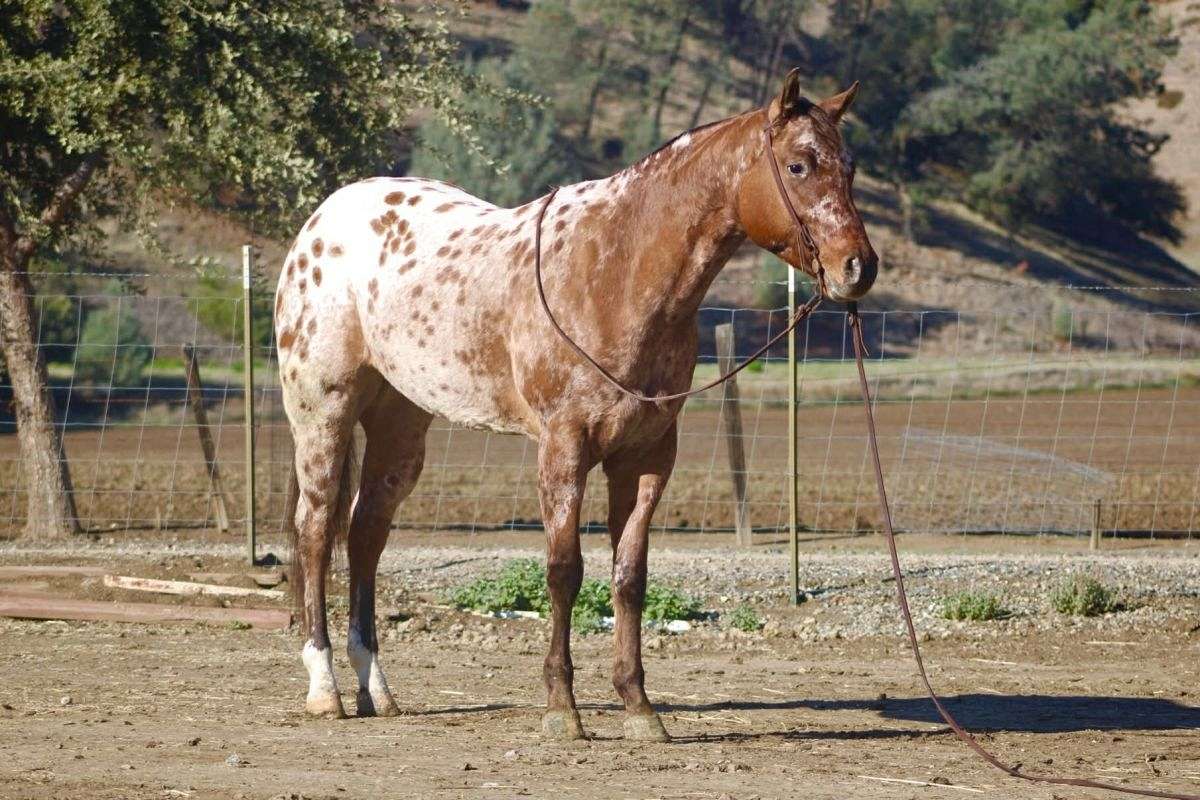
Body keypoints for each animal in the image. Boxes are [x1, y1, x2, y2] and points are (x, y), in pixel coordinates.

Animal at [275, 69, 877, 741]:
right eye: (799, 165)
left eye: (850, 167)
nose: (858, 267)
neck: (617, 273)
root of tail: (321, 221)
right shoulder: (564, 449)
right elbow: (564, 571)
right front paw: (562, 708)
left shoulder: (646, 458)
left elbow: (629, 578)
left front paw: (639, 709)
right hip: (322, 412)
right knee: (316, 530)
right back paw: (324, 686)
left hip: (400, 428)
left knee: (365, 534)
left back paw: (375, 688)